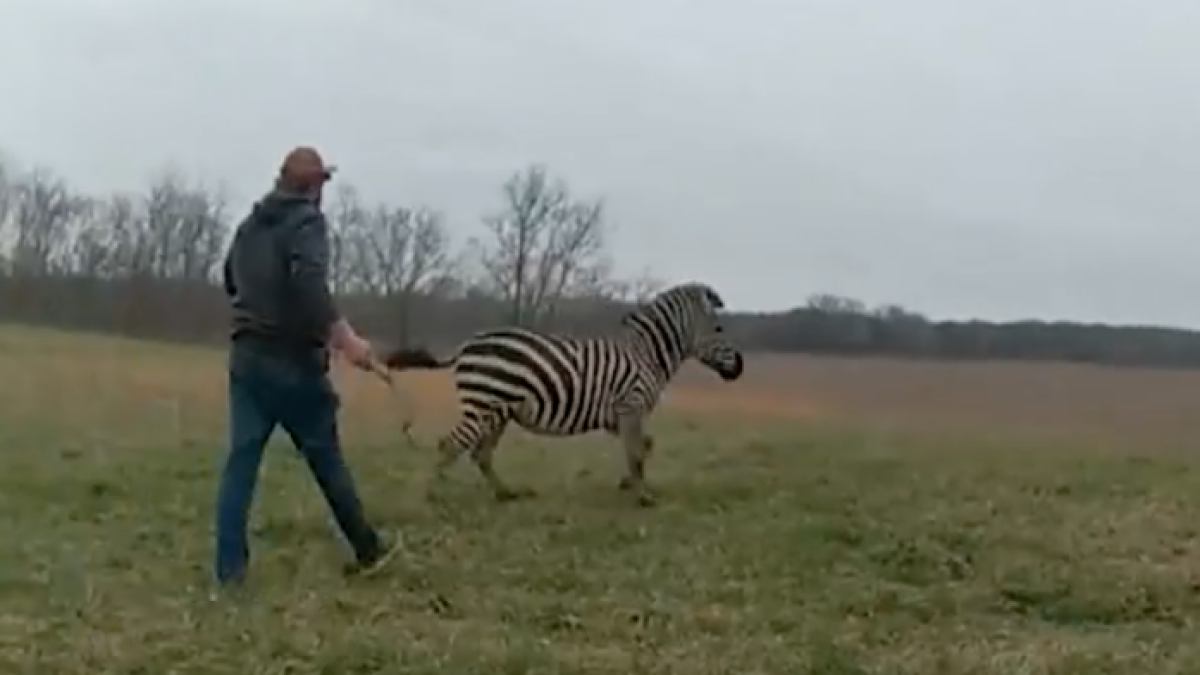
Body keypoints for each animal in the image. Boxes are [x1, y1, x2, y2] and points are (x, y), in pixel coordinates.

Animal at [381, 282, 744, 507]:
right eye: (719, 329)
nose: (740, 367)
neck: (646, 354)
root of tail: (467, 344)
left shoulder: (622, 415)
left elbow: (643, 447)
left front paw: (631, 485)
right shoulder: (631, 405)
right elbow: (637, 452)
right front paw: (642, 497)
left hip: (498, 411)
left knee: (480, 454)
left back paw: (505, 494)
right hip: (483, 405)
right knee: (451, 445)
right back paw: (430, 497)